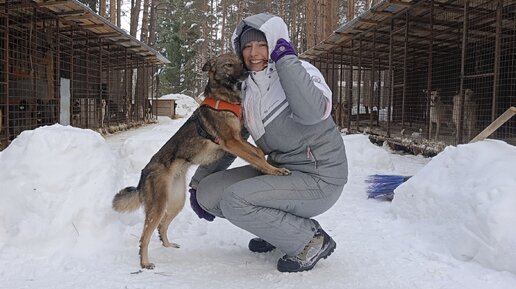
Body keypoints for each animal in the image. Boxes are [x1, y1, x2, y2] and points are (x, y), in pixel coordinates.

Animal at [112, 53, 290, 268]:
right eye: (229, 65)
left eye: (239, 61)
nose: (247, 71)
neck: (223, 95)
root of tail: (144, 172)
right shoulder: (232, 142)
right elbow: (255, 155)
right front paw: (274, 170)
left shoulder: (239, 139)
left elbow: (256, 150)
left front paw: (268, 165)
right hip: (159, 204)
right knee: (144, 236)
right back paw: (145, 262)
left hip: (176, 201)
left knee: (162, 226)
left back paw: (168, 244)